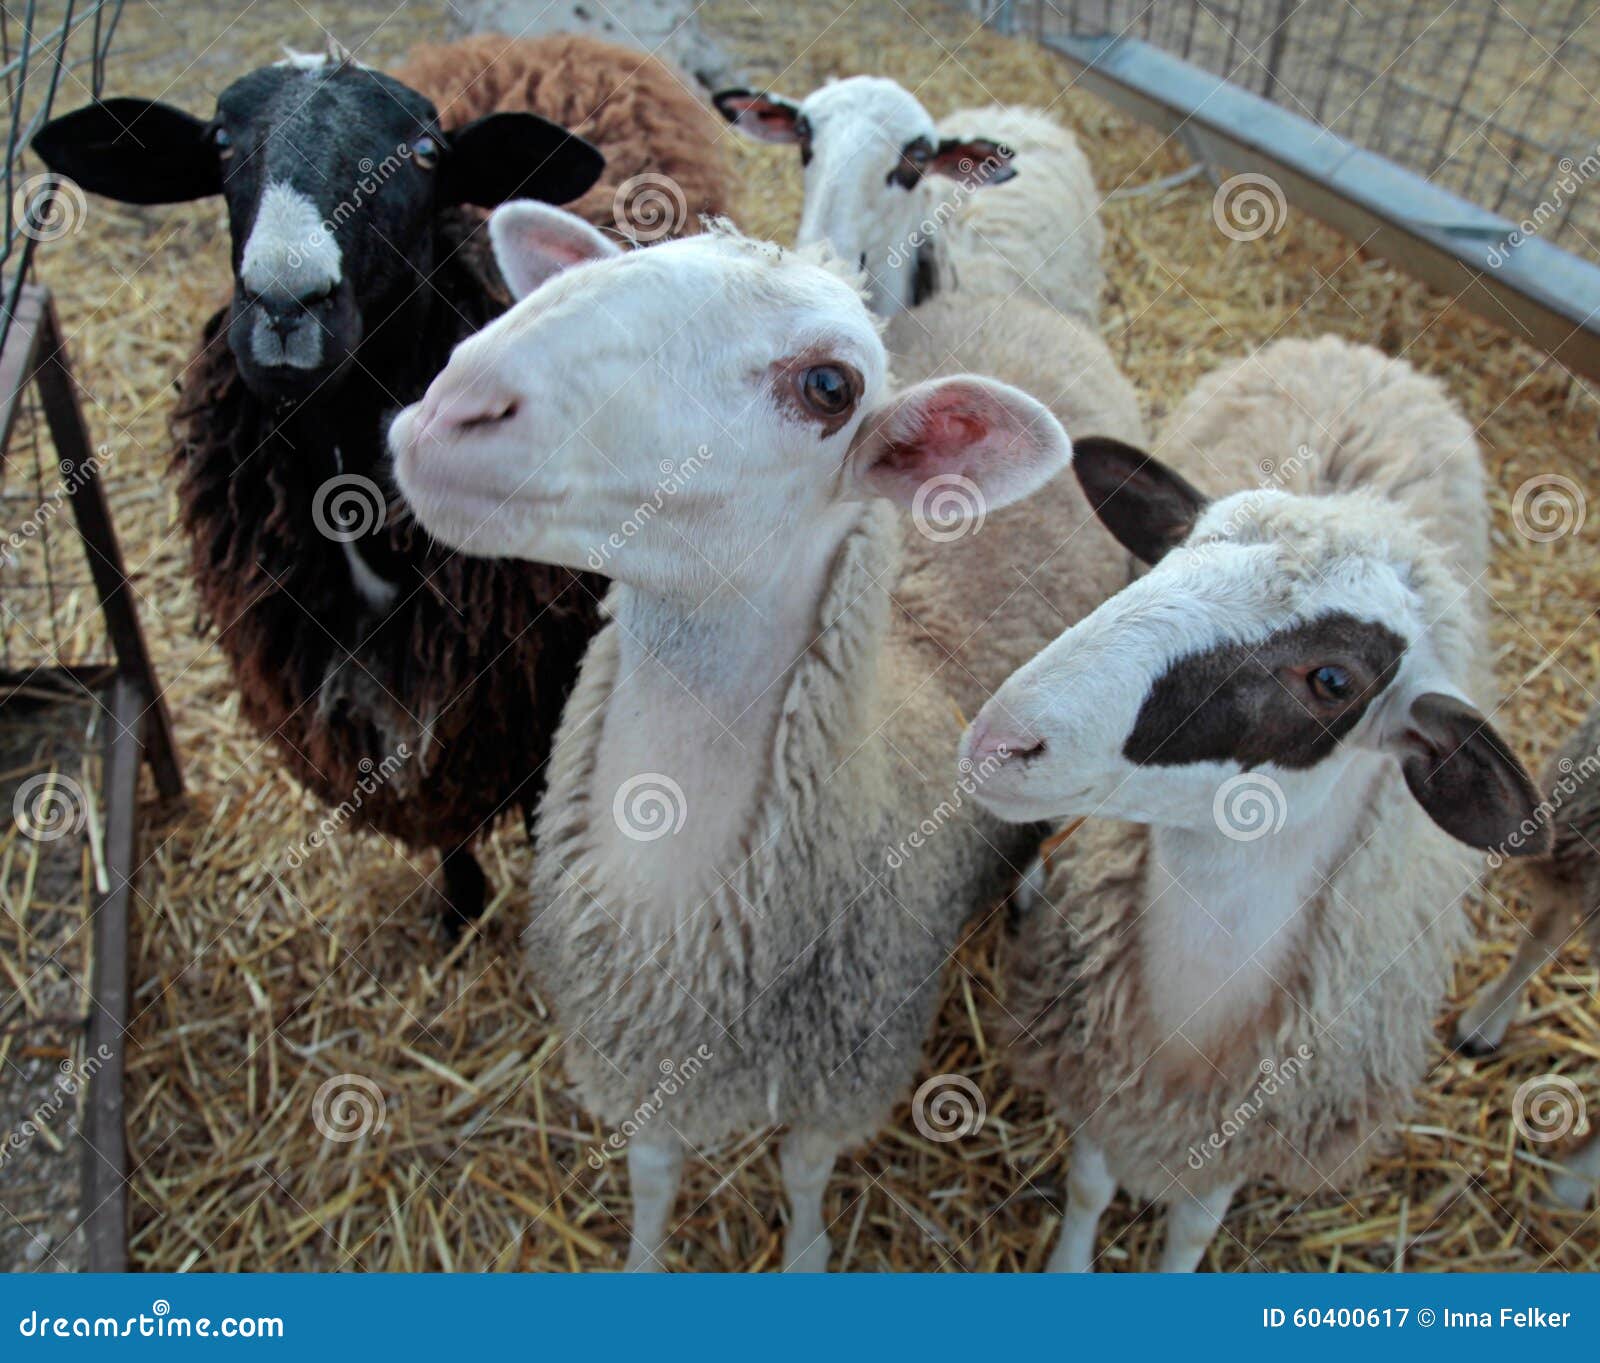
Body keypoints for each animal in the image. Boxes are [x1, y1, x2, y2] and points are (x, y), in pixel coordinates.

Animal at [32, 37, 730, 931]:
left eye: (426, 153)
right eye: (220, 141)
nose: (285, 304)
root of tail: (554, 45)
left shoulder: (529, 685)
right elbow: (444, 818)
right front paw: (458, 908)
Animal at [390, 202, 1143, 1269]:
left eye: (829, 388)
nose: (457, 405)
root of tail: (1030, 310)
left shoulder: (843, 1076)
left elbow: (800, 1176)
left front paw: (804, 1254)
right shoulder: (638, 1050)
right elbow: (652, 1175)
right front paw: (644, 1257)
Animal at [959, 335, 1549, 1271]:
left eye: (1333, 680)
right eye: (1172, 550)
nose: (1001, 741)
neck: (1186, 1028)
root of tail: (1363, 351)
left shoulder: (1245, 1133)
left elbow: (1194, 1228)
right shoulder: (1100, 1071)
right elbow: (1089, 1185)